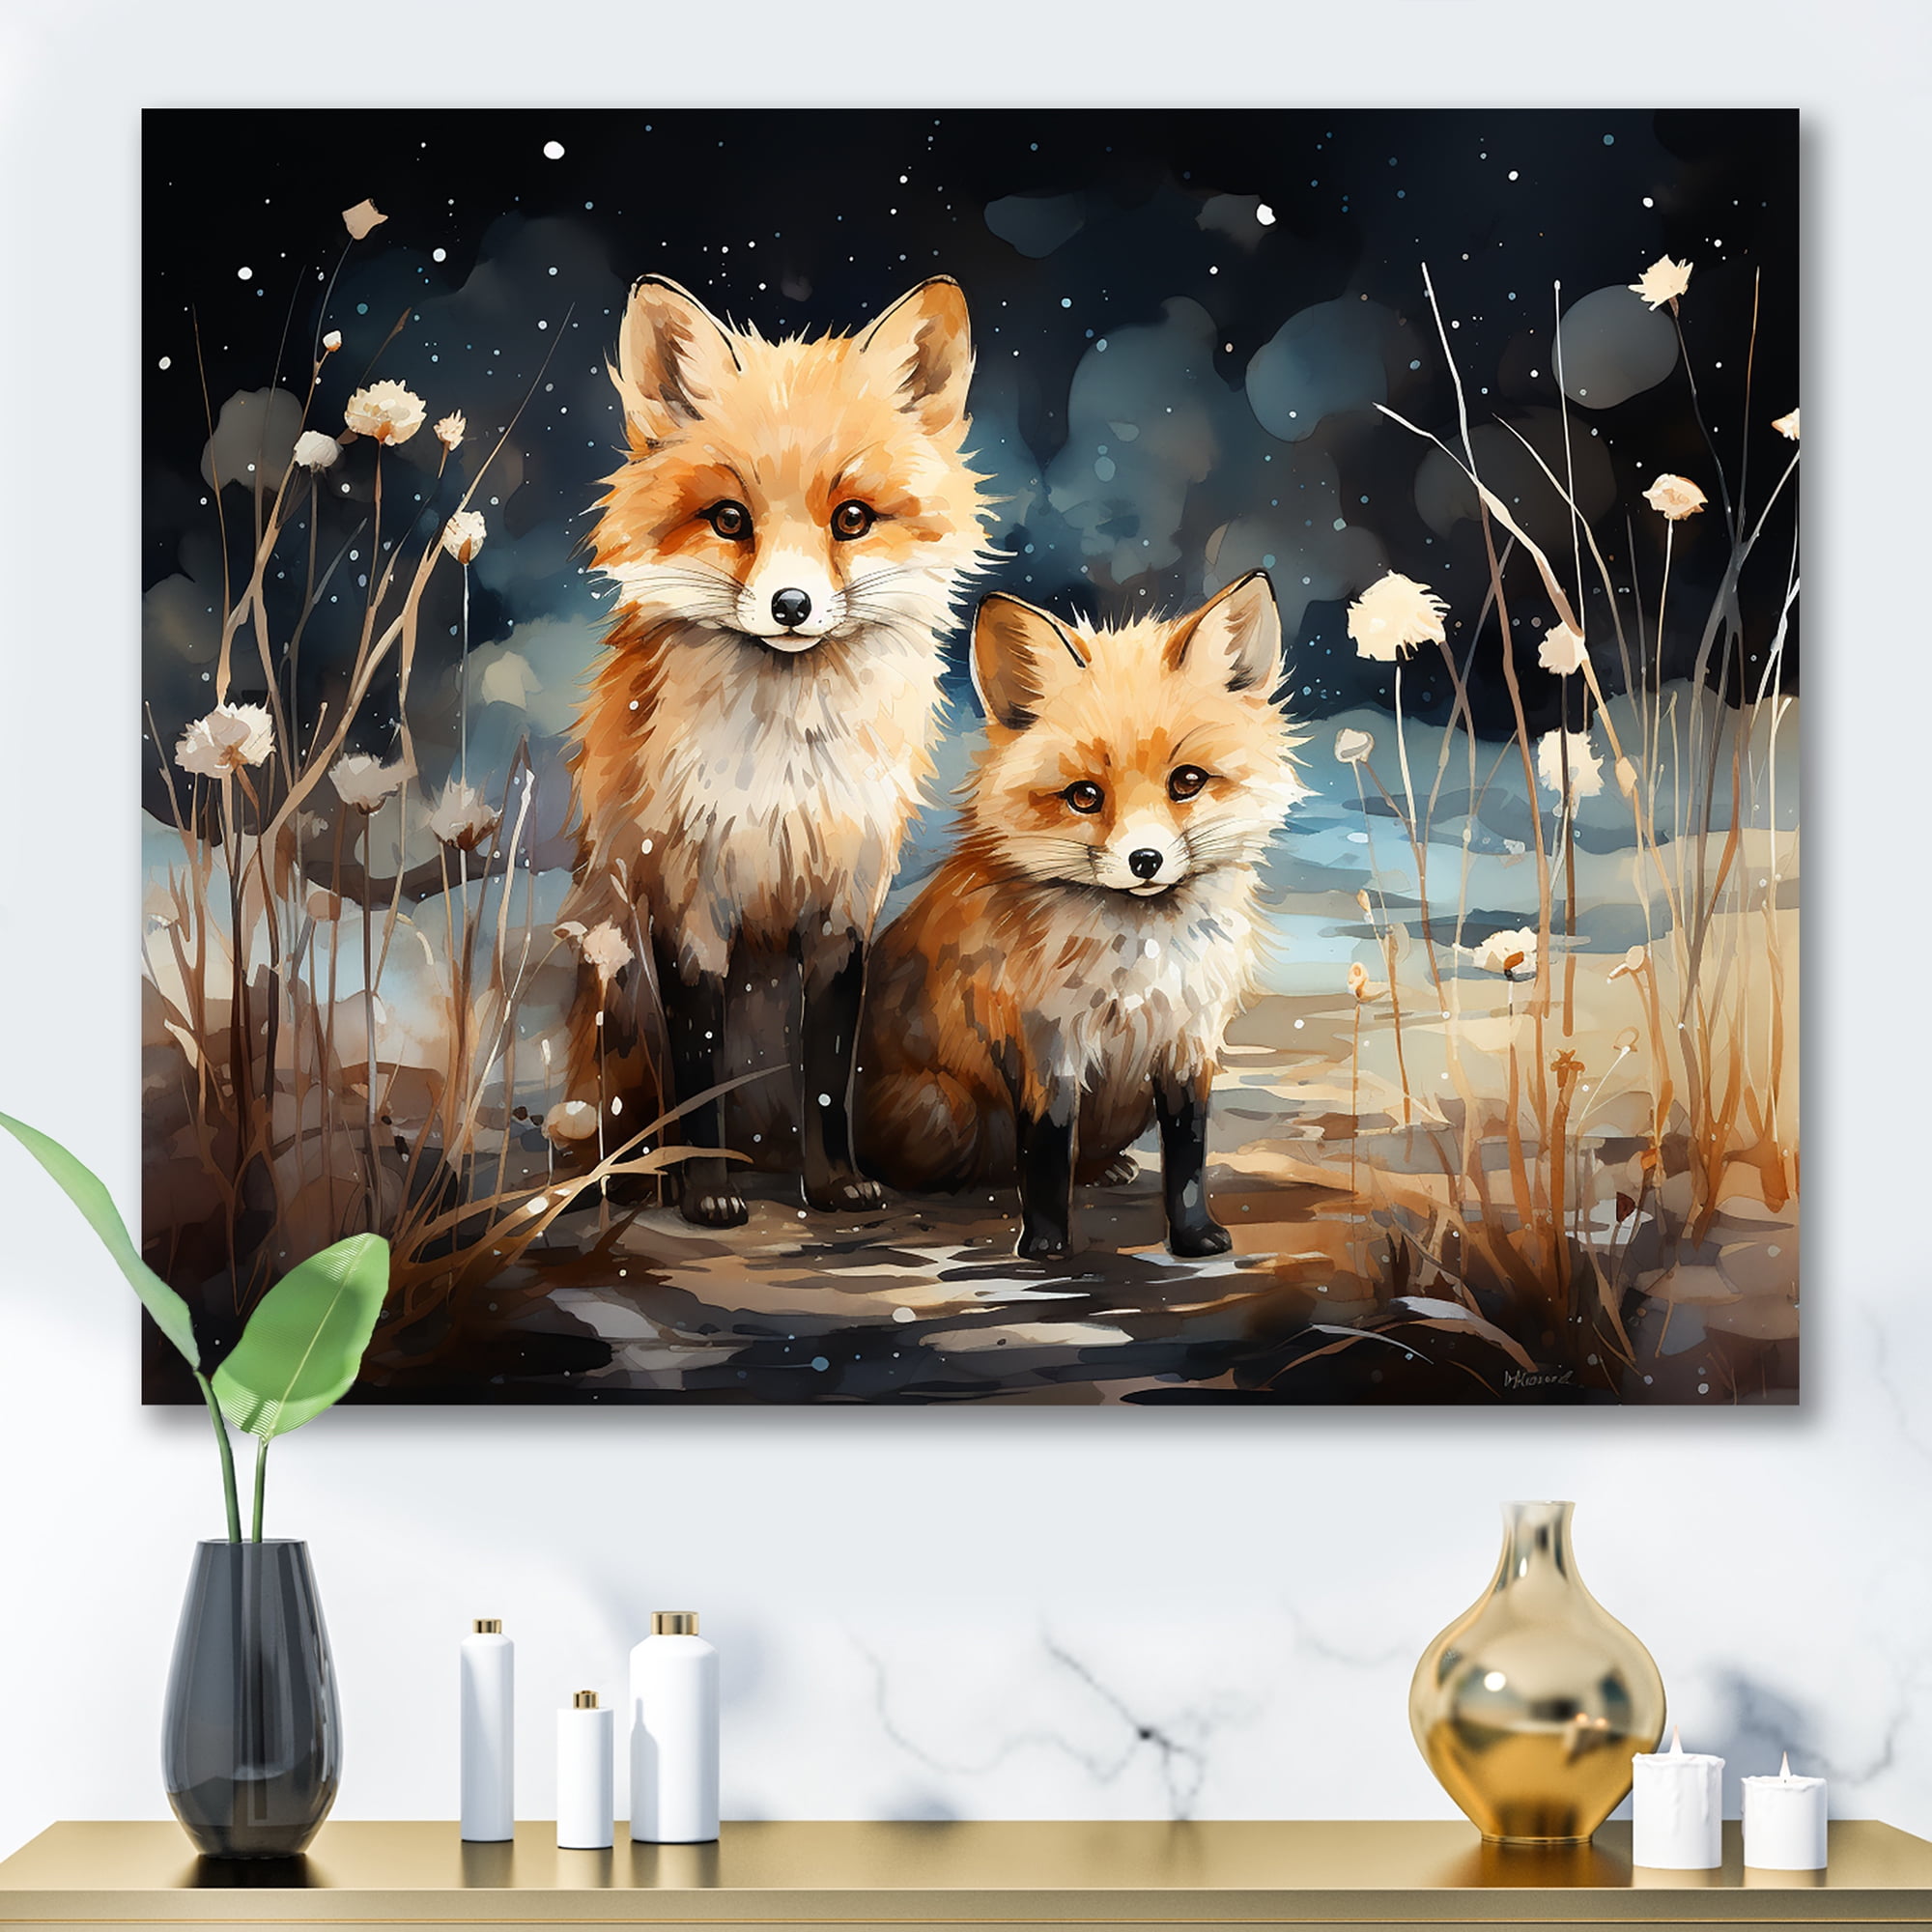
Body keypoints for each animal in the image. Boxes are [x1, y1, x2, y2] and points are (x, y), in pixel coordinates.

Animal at [561, 274, 996, 1227]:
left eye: (853, 518)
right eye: (729, 519)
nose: (790, 605)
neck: (786, 774)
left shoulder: (845, 900)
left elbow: (828, 1076)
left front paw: (833, 1186)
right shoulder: (687, 902)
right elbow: (700, 1070)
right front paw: (705, 1192)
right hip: (618, 984)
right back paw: (639, 1175)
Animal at [854, 571, 1304, 1259]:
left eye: (1187, 781)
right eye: (1084, 796)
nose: (1145, 860)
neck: (1137, 961)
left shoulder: (1188, 1038)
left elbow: (1188, 1152)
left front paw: (1194, 1235)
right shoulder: (1046, 1043)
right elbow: (1044, 1149)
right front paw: (1044, 1247)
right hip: (942, 1107)